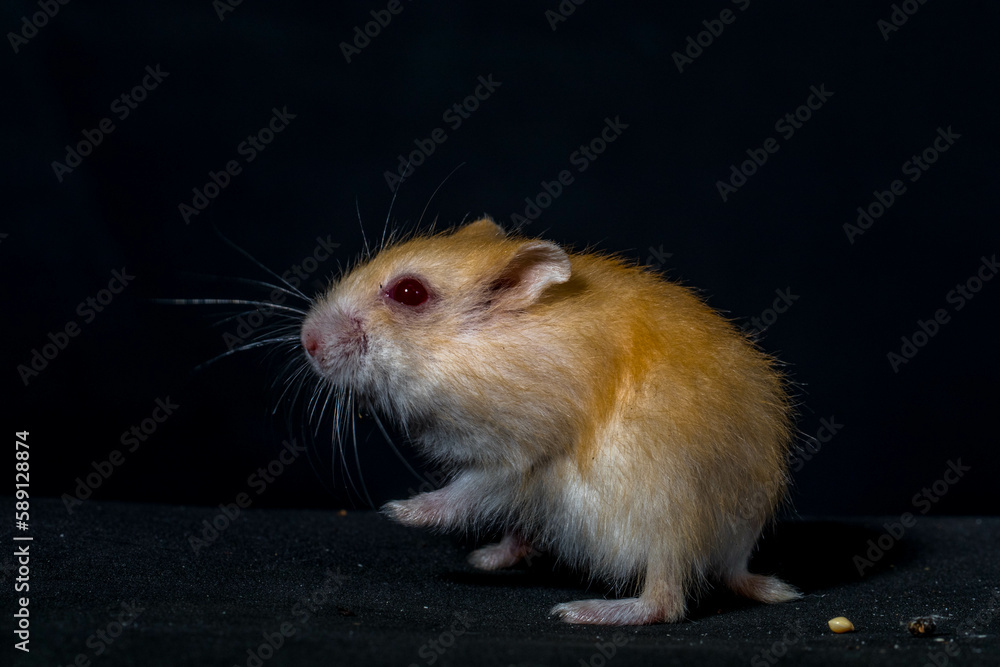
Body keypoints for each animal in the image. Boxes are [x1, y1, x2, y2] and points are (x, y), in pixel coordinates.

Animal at [300, 218, 800, 625]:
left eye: (409, 292)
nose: (307, 341)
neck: (462, 349)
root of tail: (736, 559)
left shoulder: (523, 453)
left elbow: (469, 490)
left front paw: (400, 512)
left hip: (665, 514)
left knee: (665, 600)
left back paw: (580, 612)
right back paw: (490, 559)